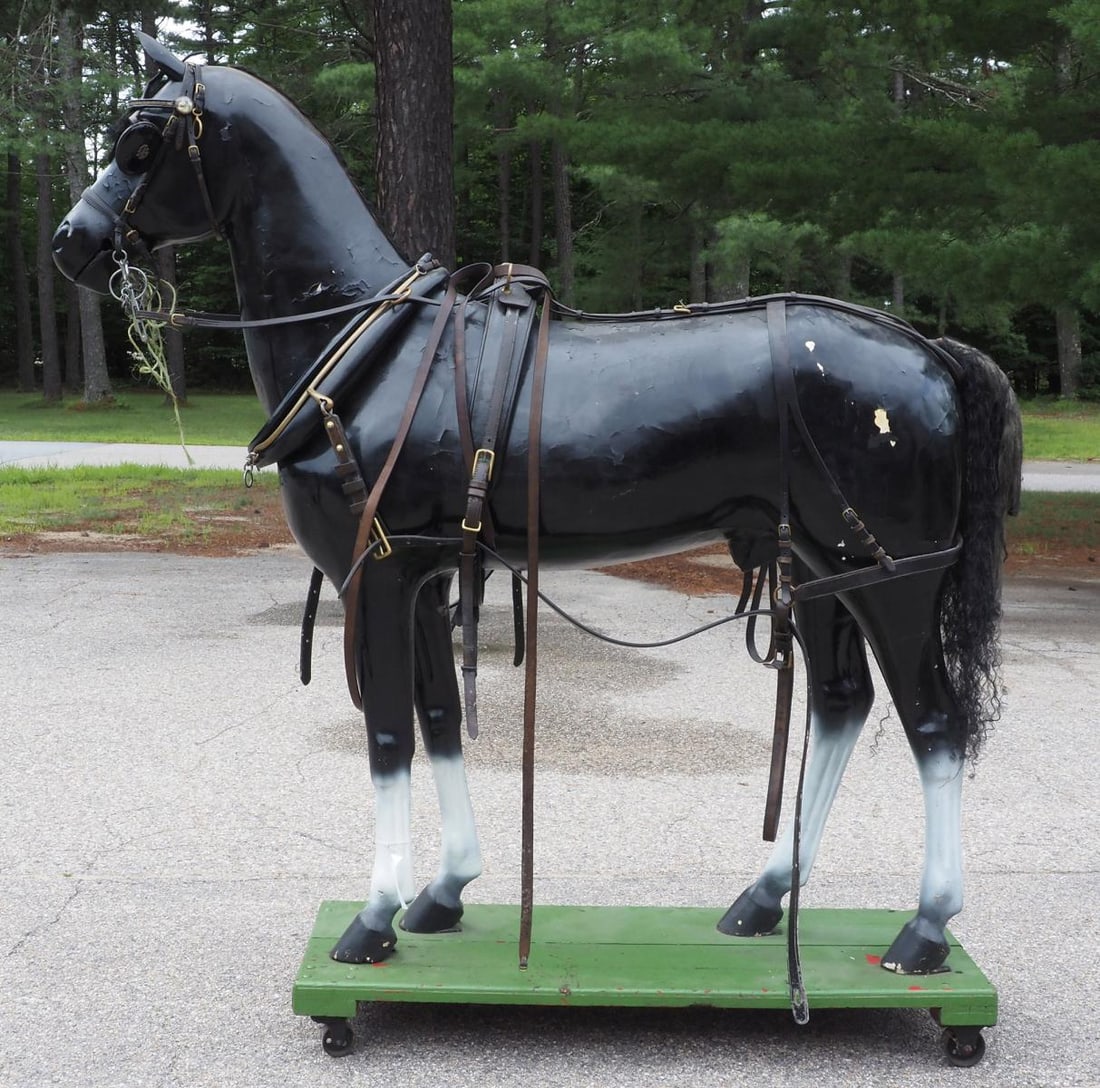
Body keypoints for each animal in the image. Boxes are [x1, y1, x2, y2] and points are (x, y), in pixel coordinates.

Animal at [54, 35, 1022, 980]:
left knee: (933, 725)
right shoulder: (427, 577)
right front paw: (442, 893)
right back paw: (763, 899)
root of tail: (930, 351)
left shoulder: (379, 576)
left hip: (891, 578)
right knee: (839, 705)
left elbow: (388, 738)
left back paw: (925, 930)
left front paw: (372, 920)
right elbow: (440, 719)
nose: (71, 241)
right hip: (818, 571)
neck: (372, 351)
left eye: (138, 142)